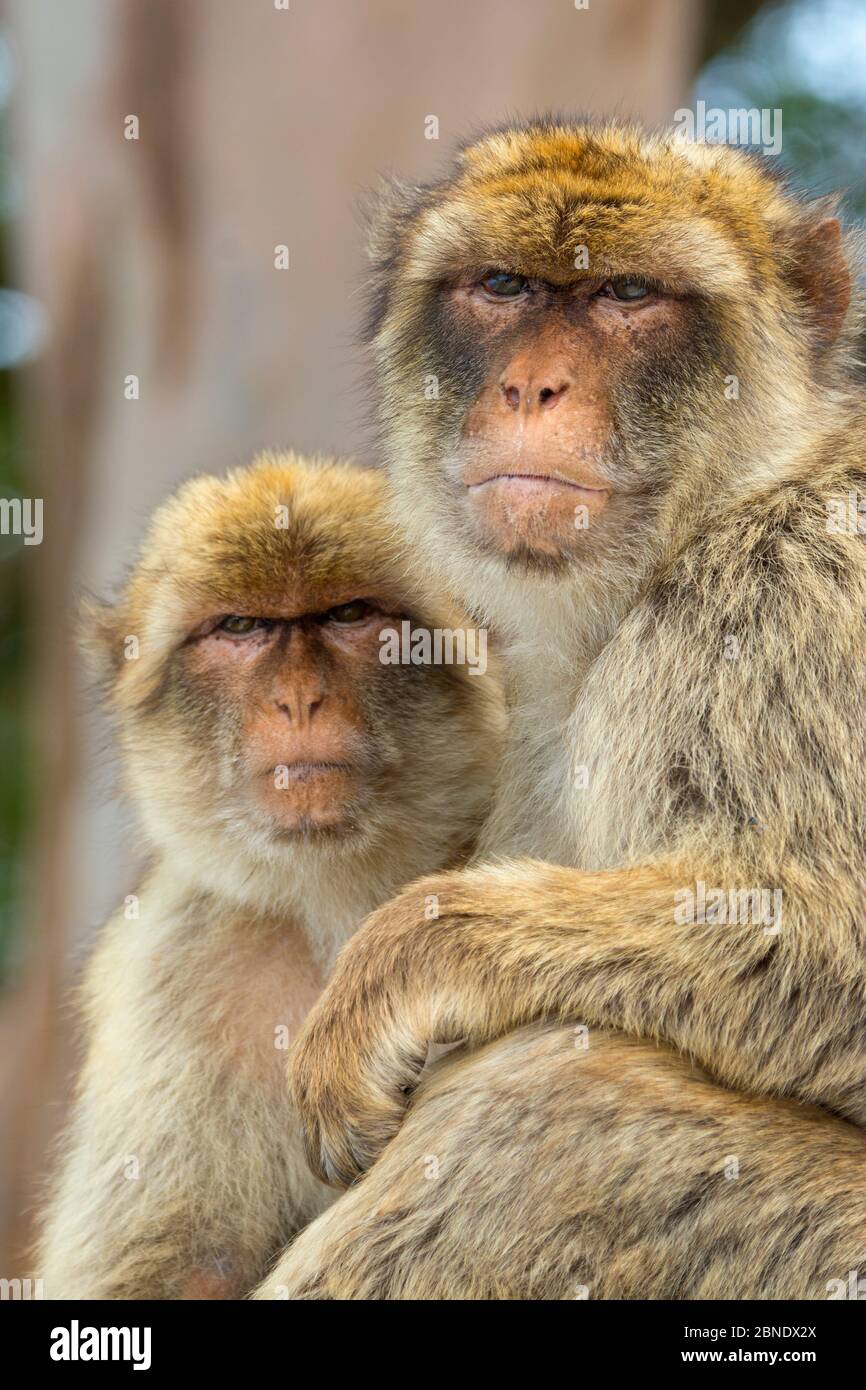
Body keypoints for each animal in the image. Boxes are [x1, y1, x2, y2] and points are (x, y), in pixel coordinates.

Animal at [35, 450, 504, 1299]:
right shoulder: (182, 964)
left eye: (349, 614)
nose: (298, 699)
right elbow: (176, 1267)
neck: (335, 893)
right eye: (241, 628)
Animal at [258, 119, 866, 1299]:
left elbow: (832, 942)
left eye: (628, 293)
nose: (532, 388)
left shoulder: (785, 606)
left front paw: (411, 955)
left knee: (546, 1103)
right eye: (502, 286)